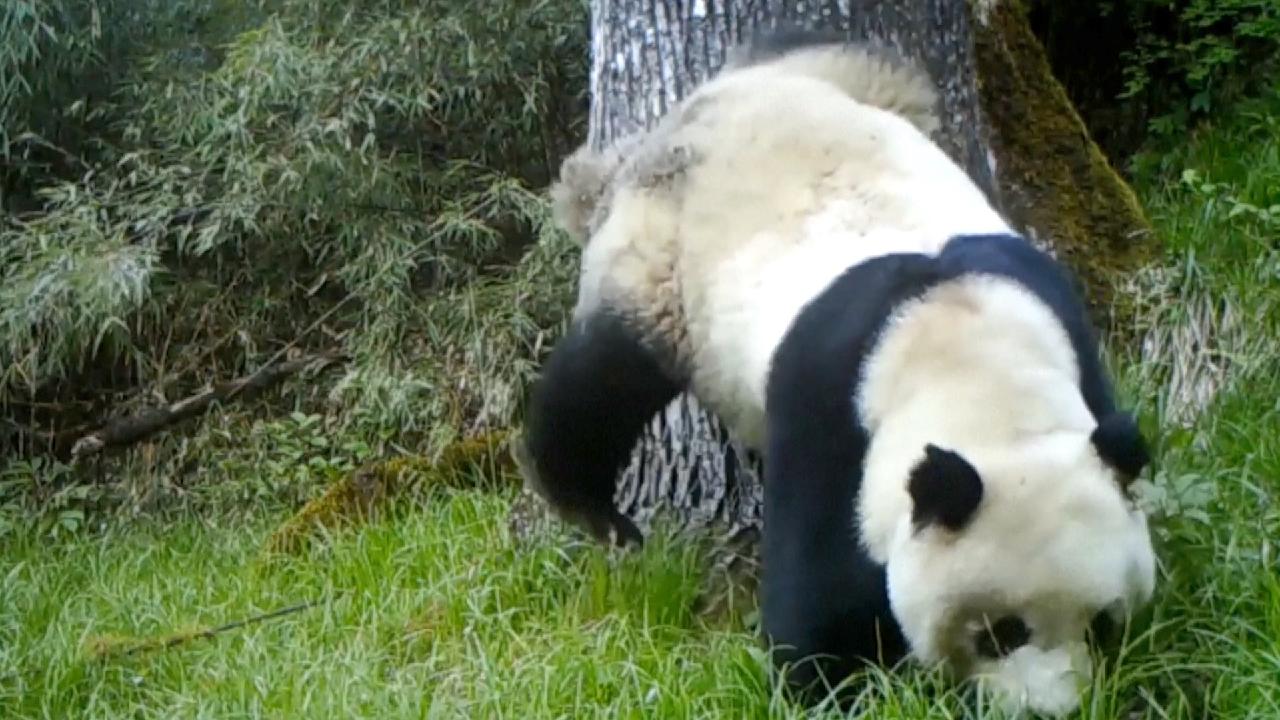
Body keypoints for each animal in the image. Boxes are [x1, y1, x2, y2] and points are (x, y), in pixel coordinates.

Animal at [514, 28, 1158, 717]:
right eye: (1001, 633)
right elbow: (817, 590)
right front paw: (832, 687)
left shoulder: (1071, 337)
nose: (1055, 710)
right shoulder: (828, 400)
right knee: (601, 380)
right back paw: (594, 510)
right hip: (660, 253)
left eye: (1102, 623)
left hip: (867, 83)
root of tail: (696, 106)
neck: (975, 361)